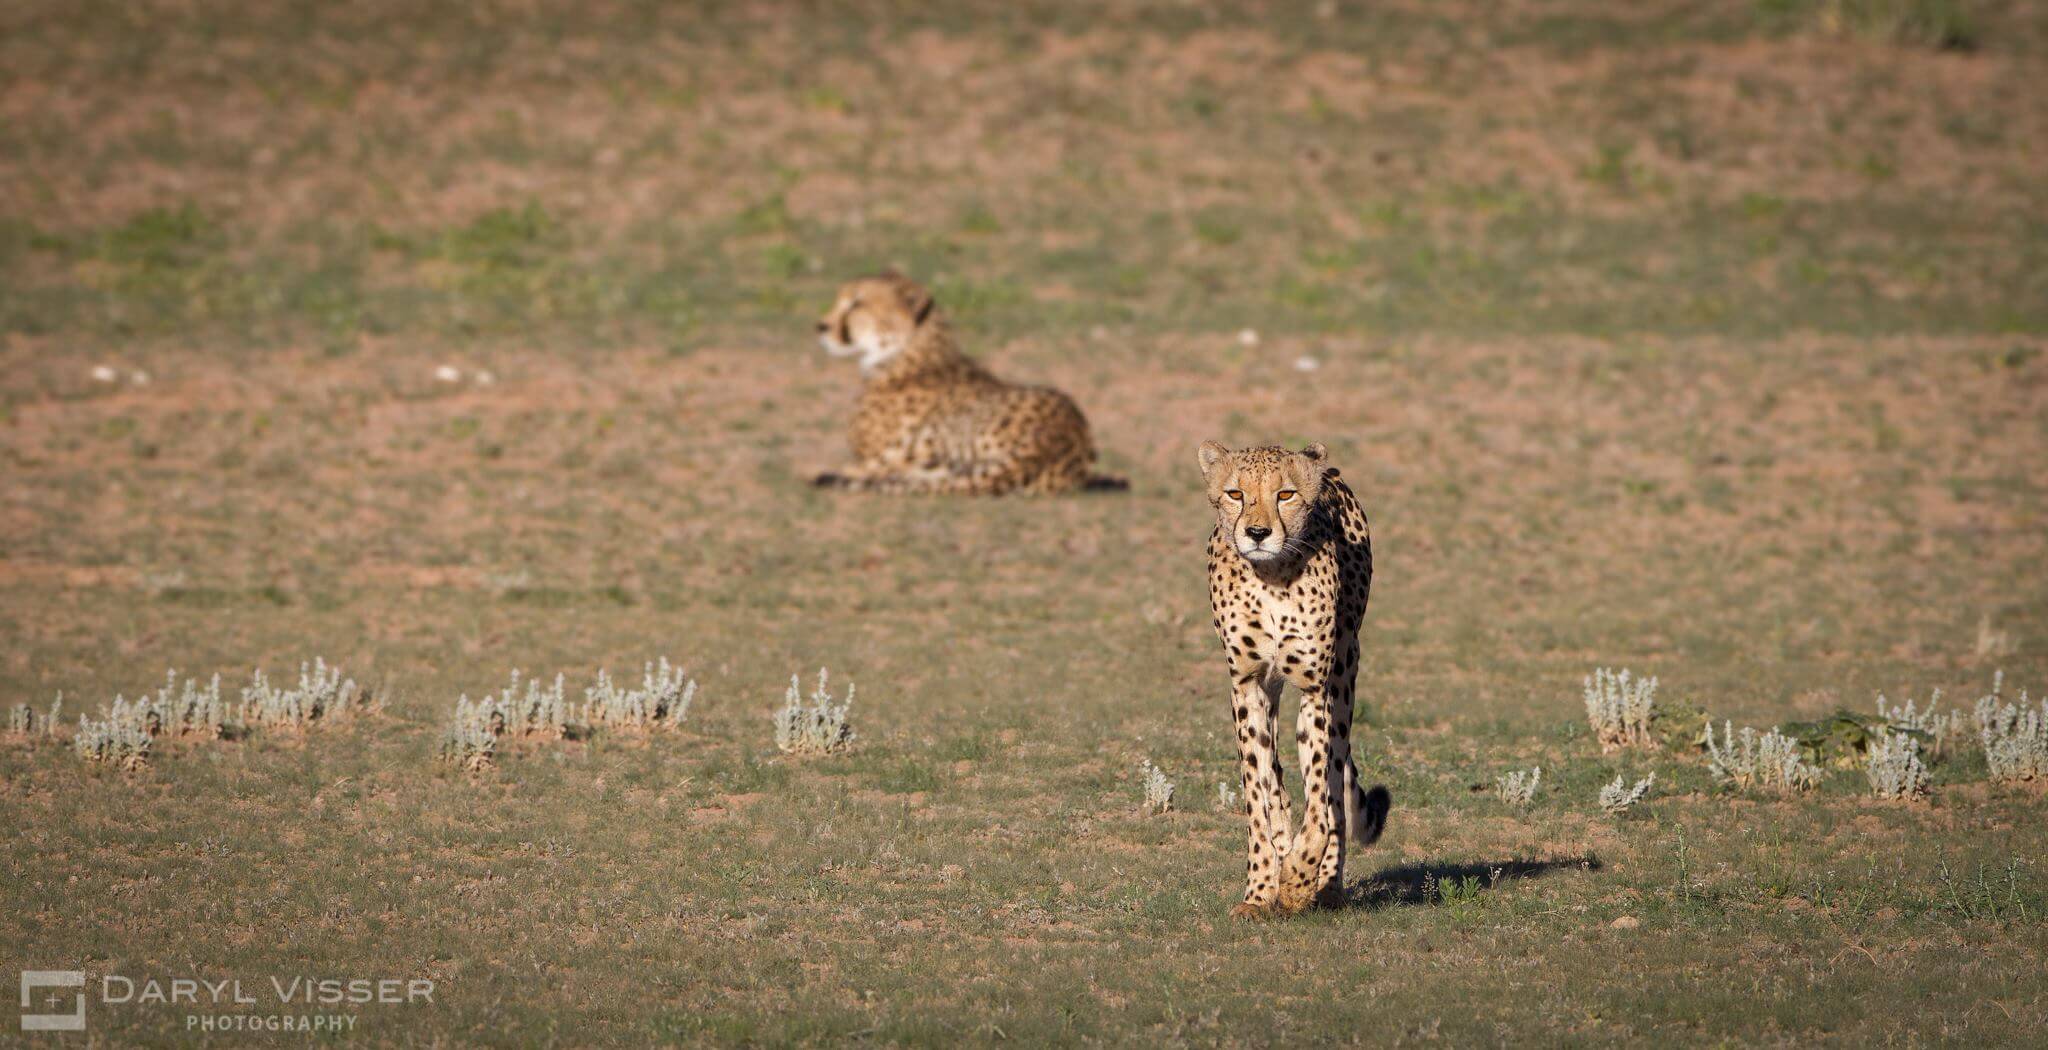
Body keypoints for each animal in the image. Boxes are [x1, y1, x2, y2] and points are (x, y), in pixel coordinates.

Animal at [1199, 440, 1389, 918]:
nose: (1258, 533)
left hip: (1345, 670)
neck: (1271, 577)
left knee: (1334, 788)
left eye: (1284, 494)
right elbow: (1257, 795)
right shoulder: (1247, 684)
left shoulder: (1316, 688)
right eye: (1235, 494)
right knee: (1276, 778)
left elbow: (1322, 798)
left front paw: (1298, 883)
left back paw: (1328, 886)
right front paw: (1259, 890)